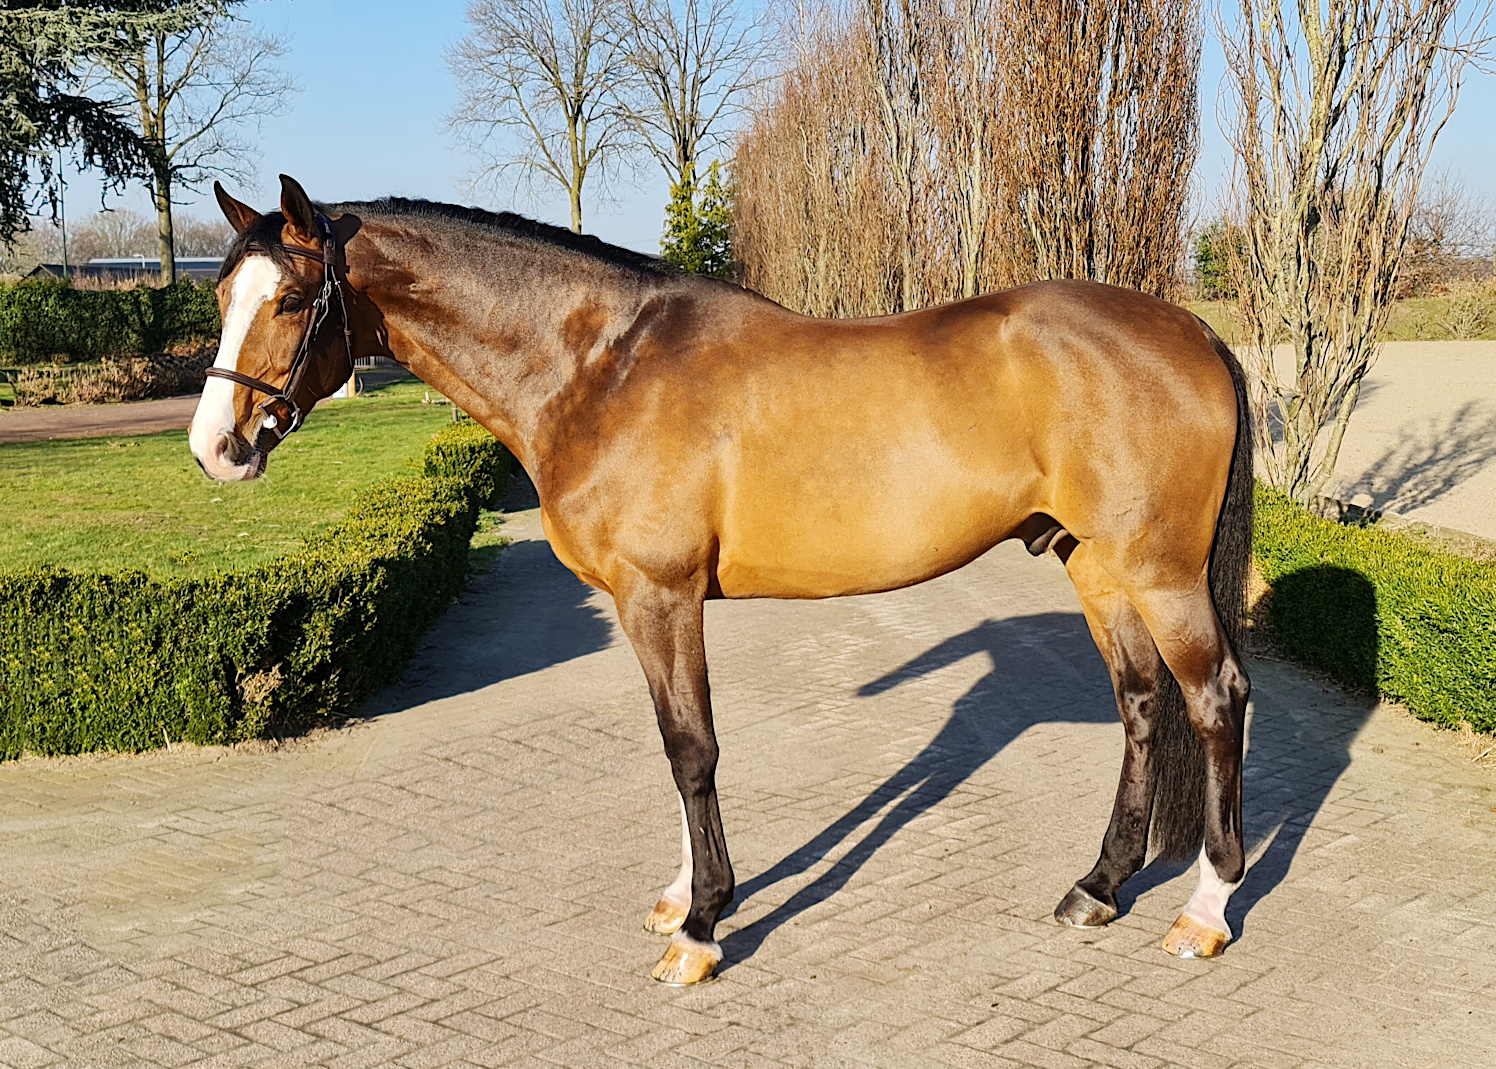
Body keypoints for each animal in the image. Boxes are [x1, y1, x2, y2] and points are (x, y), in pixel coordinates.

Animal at [191, 175, 1253, 986]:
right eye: (219, 299)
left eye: (292, 301)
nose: (216, 450)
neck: (601, 367)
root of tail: (1195, 333)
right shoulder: (639, 605)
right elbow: (673, 747)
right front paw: (678, 900)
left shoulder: (661, 596)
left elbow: (691, 749)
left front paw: (702, 929)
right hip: (1098, 567)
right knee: (1142, 702)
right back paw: (1099, 887)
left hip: (1159, 573)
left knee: (1215, 699)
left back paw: (1204, 910)